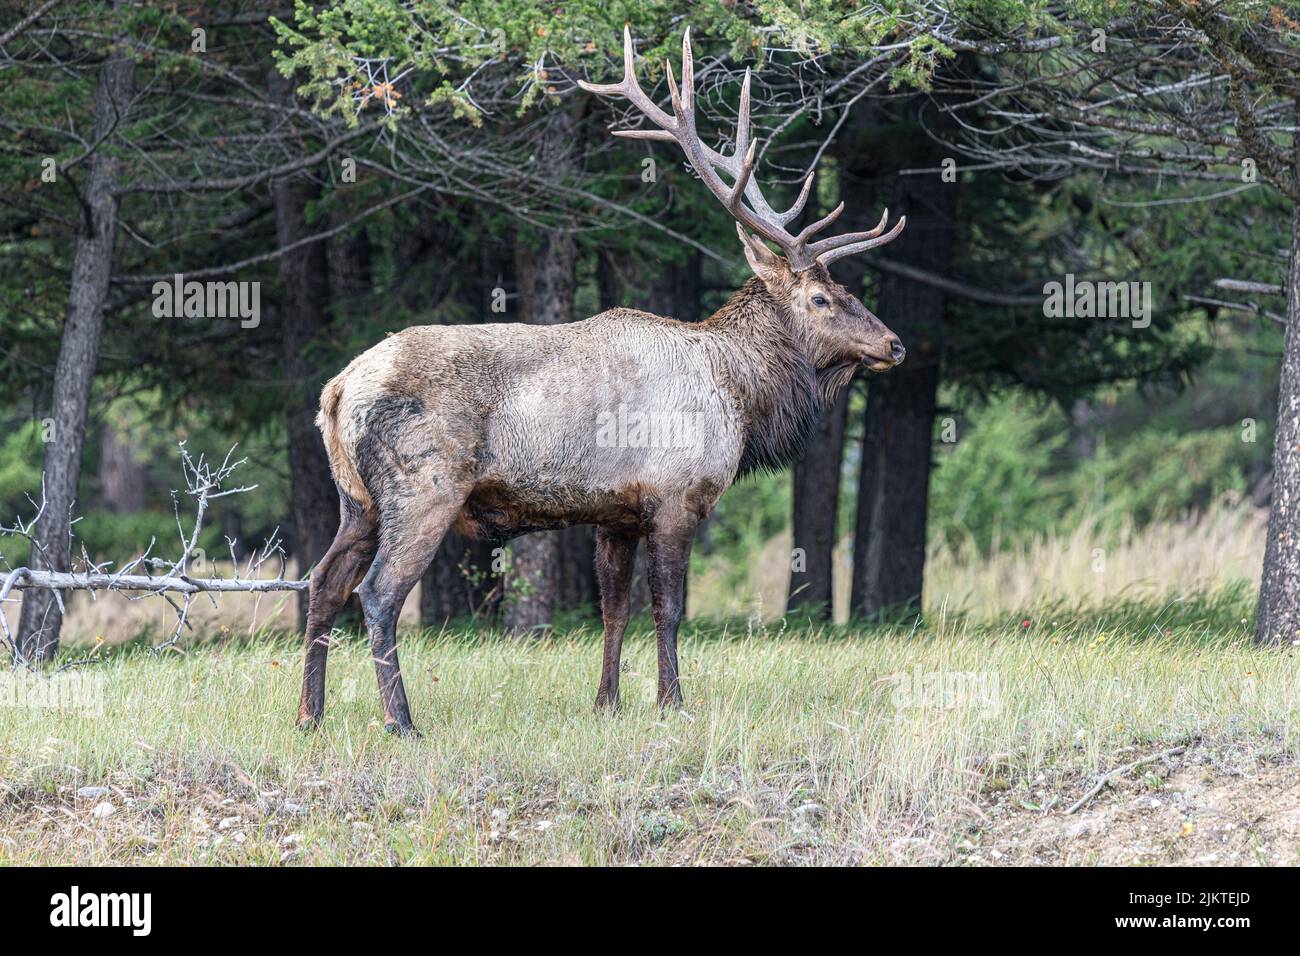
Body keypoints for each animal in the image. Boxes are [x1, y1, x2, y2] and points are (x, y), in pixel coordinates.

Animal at [298, 27, 907, 736]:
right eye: (821, 298)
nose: (894, 343)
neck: (740, 395)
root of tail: (336, 391)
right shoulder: (676, 495)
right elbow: (668, 609)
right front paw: (673, 702)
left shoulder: (615, 512)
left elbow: (614, 609)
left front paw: (608, 701)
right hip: (423, 487)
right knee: (377, 593)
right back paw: (401, 722)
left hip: (357, 499)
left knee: (322, 583)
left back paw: (309, 716)